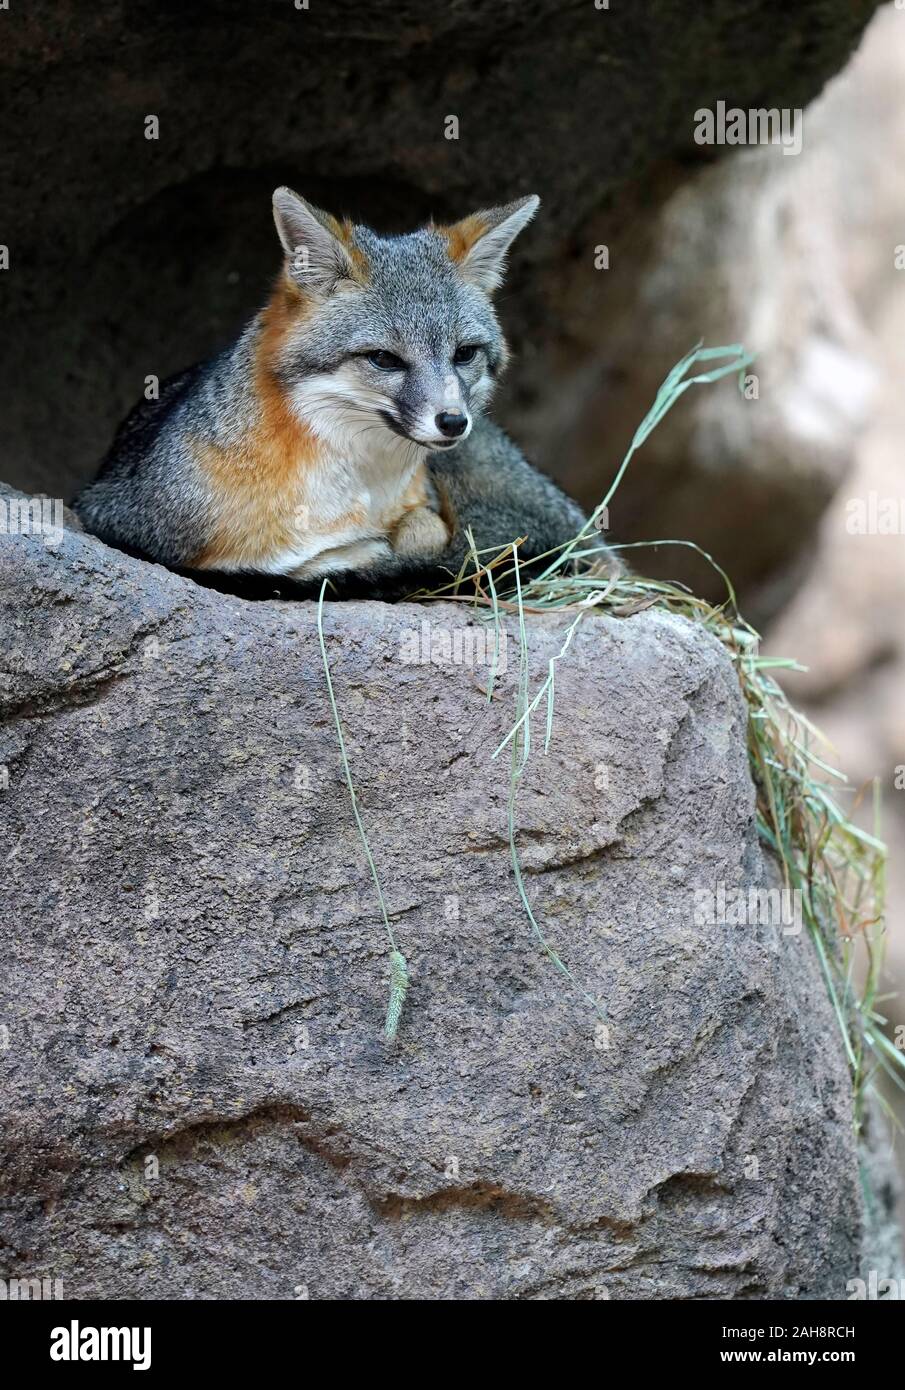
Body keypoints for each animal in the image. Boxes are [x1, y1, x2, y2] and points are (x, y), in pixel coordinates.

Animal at [73, 187, 614, 599]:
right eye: (384, 359)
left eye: (464, 354)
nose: (453, 421)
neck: (348, 490)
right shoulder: (110, 513)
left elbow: (421, 536)